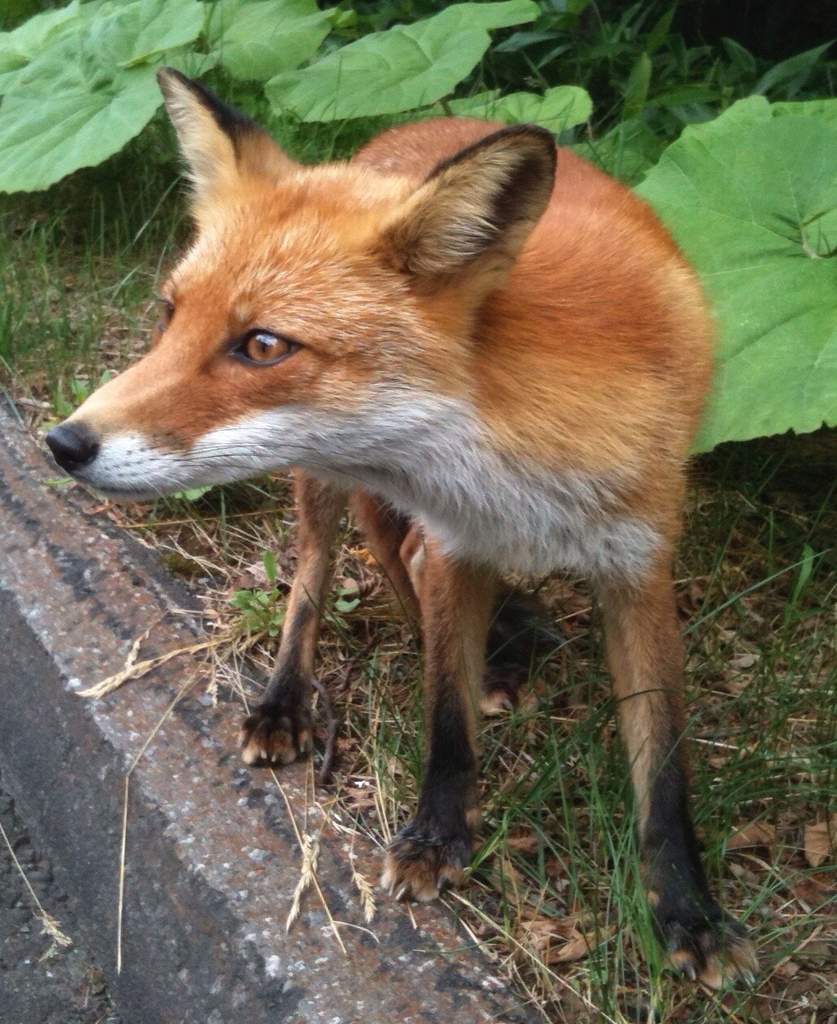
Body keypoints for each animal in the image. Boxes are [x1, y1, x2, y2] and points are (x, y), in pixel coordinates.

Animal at [45, 68, 757, 987]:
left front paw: (687, 912)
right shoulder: (456, 544)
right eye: (168, 315)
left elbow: (663, 767)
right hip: (318, 481)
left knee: (395, 558)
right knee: (318, 578)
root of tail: (432, 124)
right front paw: (436, 837)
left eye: (262, 345)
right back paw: (286, 701)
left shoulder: (639, 564)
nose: (62, 444)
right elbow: (444, 723)